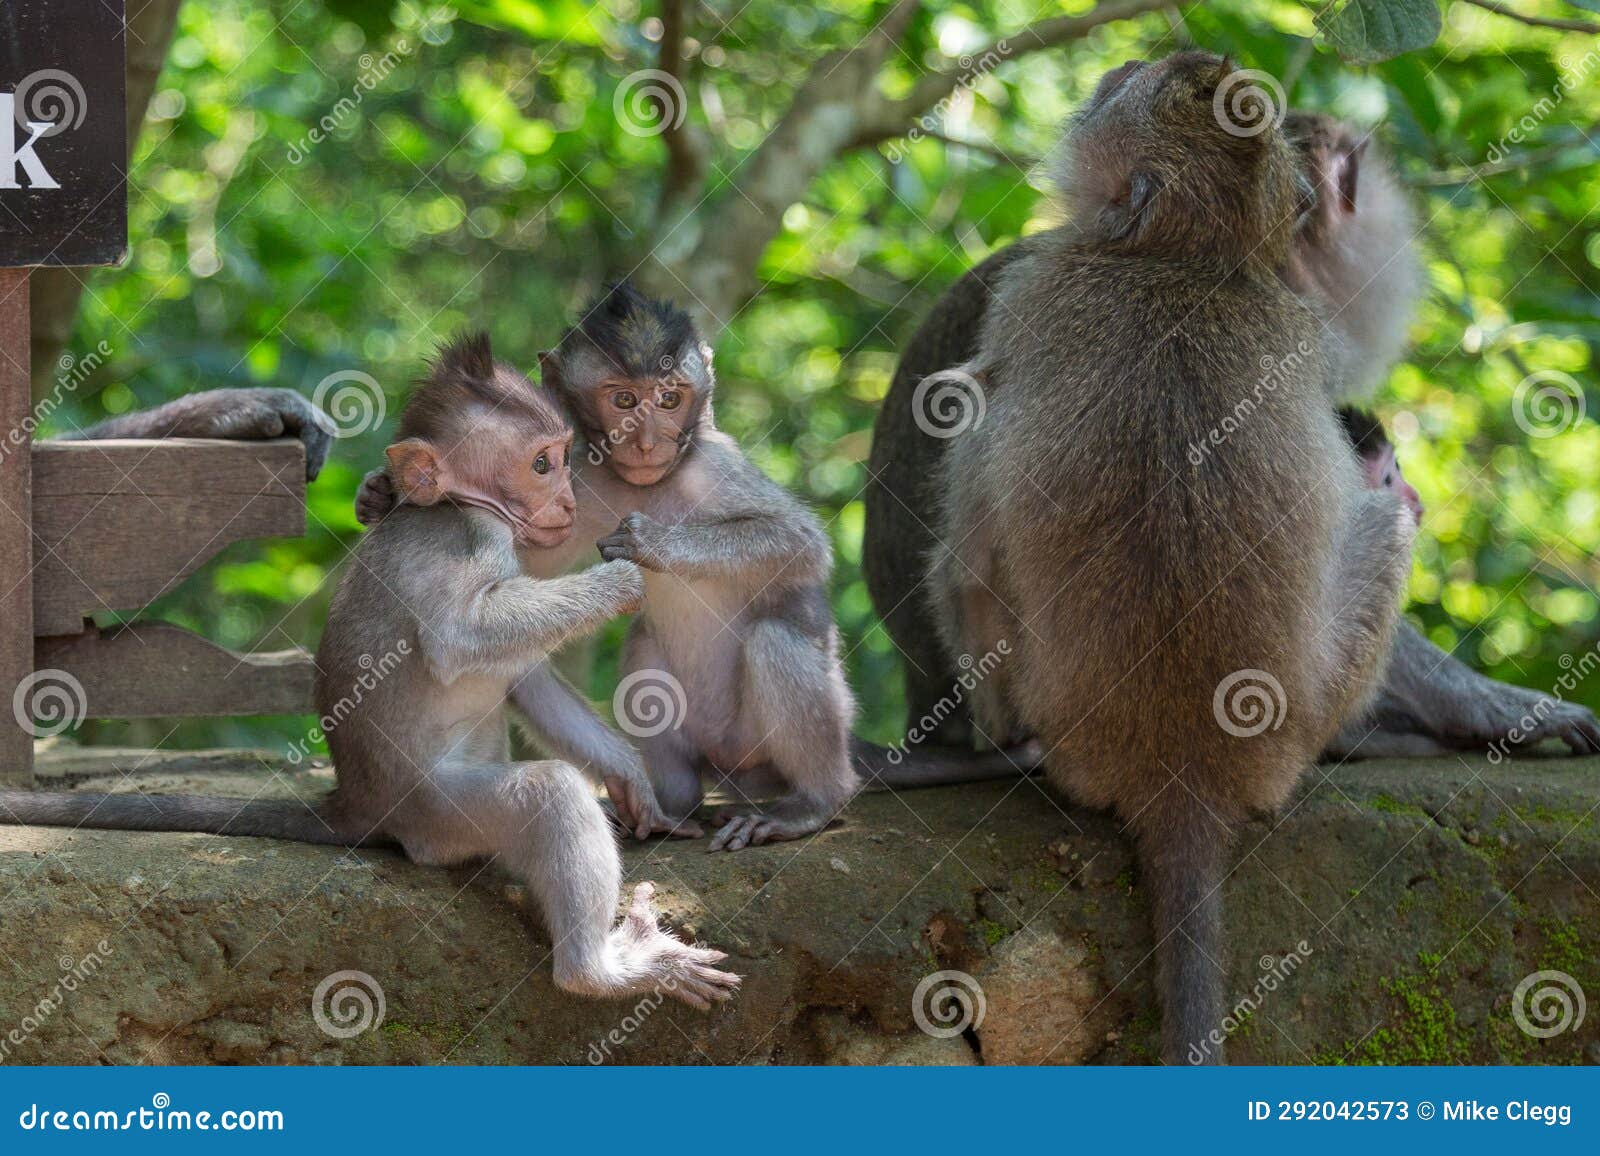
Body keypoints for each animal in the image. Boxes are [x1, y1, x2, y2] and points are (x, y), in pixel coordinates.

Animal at [0, 335, 740, 1010]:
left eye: (561, 458)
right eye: (541, 464)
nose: (567, 502)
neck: (458, 504)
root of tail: (356, 803)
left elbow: (521, 676)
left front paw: (632, 781)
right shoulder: (473, 538)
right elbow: (458, 638)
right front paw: (622, 580)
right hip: (440, 814)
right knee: (547, 795)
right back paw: (600, 970)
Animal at [357, 285, 1031, 853]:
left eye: (669, 398)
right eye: (623, 400)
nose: (649, 440)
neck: (648, 484)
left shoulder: (715, 463)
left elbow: (801, 543)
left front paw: (655, 543)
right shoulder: (575, 487)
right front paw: (380, 495)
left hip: (778, 742)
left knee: (777, 637)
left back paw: (812, 804)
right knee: (645, 660)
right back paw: (671, 805)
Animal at [927, 52, 1416, 1062]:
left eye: (1130, 84)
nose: (1116, 65)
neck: (1182, 260)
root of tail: (1185, 771)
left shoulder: (1030, 290)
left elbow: (969, 543)